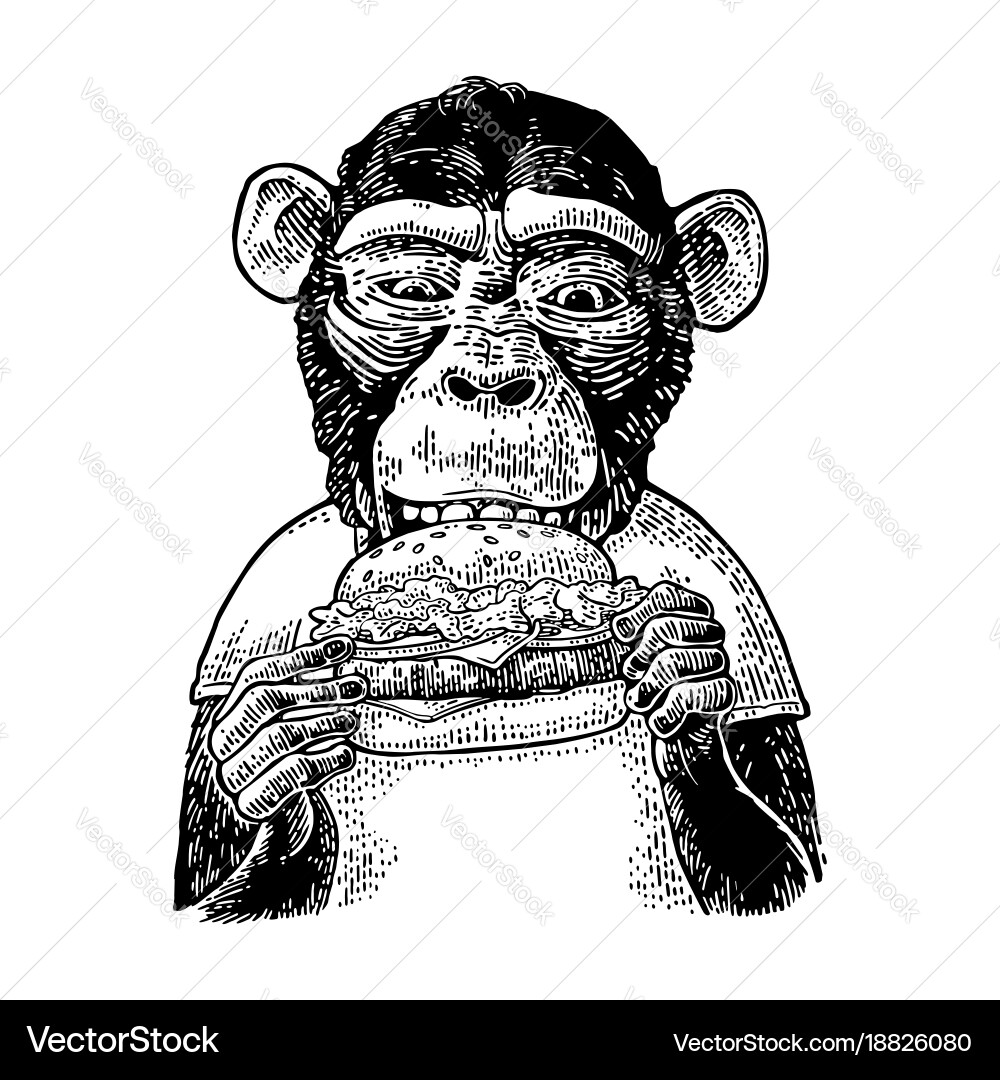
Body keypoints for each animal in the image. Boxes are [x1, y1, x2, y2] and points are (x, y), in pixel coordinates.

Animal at [175, 77, 822, 922]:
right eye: (410, 290)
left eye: (582, 297)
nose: (489, 382)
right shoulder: (249, 616)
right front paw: (282, 752)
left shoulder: (733, 600)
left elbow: (783, 867)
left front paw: (681, 688)